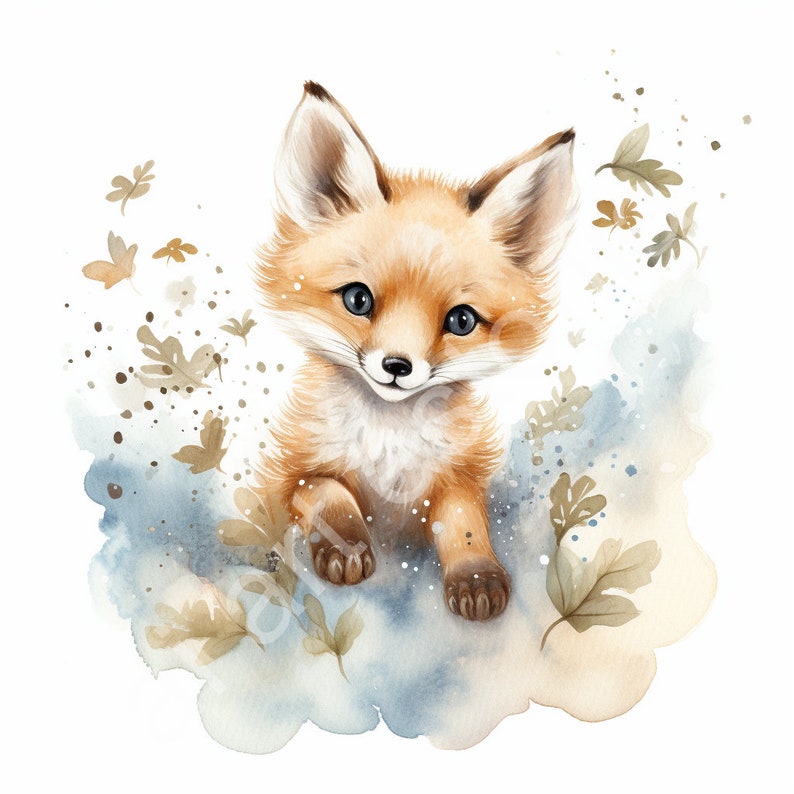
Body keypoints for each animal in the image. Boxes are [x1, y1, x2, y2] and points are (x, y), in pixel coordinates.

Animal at [255, 82, 576, 621]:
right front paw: (346, 545)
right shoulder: (287, 477)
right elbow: (329, 494)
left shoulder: (458, 477)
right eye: (358, 299)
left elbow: (463, 523)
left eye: (461, 321)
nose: (397, 367)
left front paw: (475, 576)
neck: (389, 443)